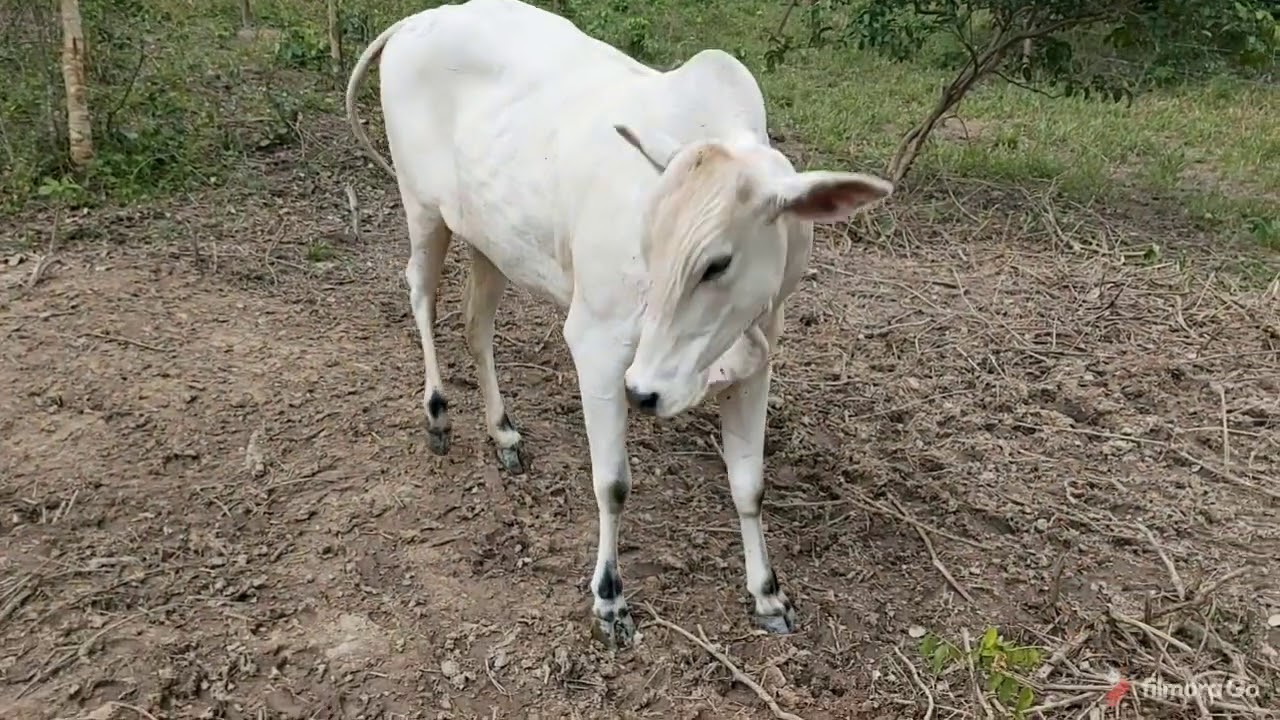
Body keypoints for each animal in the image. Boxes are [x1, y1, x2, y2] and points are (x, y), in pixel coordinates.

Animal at [345, 0, 893, 648]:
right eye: (648, 245)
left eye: (718, 263)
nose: (646, 393)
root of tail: (418, 21)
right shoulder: (600, 348)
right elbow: (612, 482)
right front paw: (609, 599)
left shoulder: (755, 360)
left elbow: (749, 485)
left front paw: (767, 595)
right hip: (422, 209)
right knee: (421, 294)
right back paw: (436, 412)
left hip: (490, 241)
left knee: (475, 325)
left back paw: (503, 433)